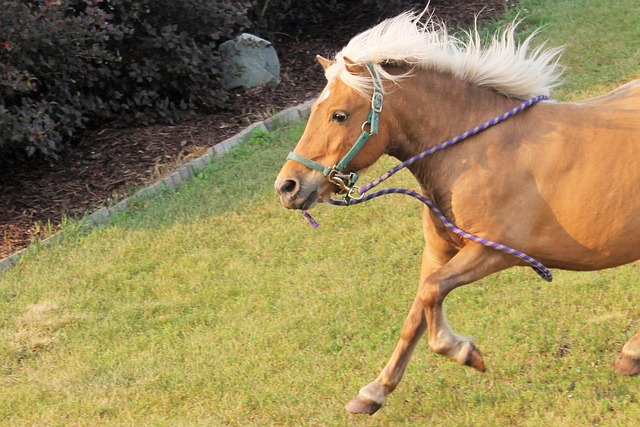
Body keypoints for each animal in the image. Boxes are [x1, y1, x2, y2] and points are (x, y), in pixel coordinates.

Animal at [274, 11, 640, 414]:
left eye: (339, 115)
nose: (287, 186)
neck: (477, 152)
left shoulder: (494, 252)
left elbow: (432, 294)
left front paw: (464, 352)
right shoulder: (438, 252)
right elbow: (417, 312)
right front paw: (373, 392)